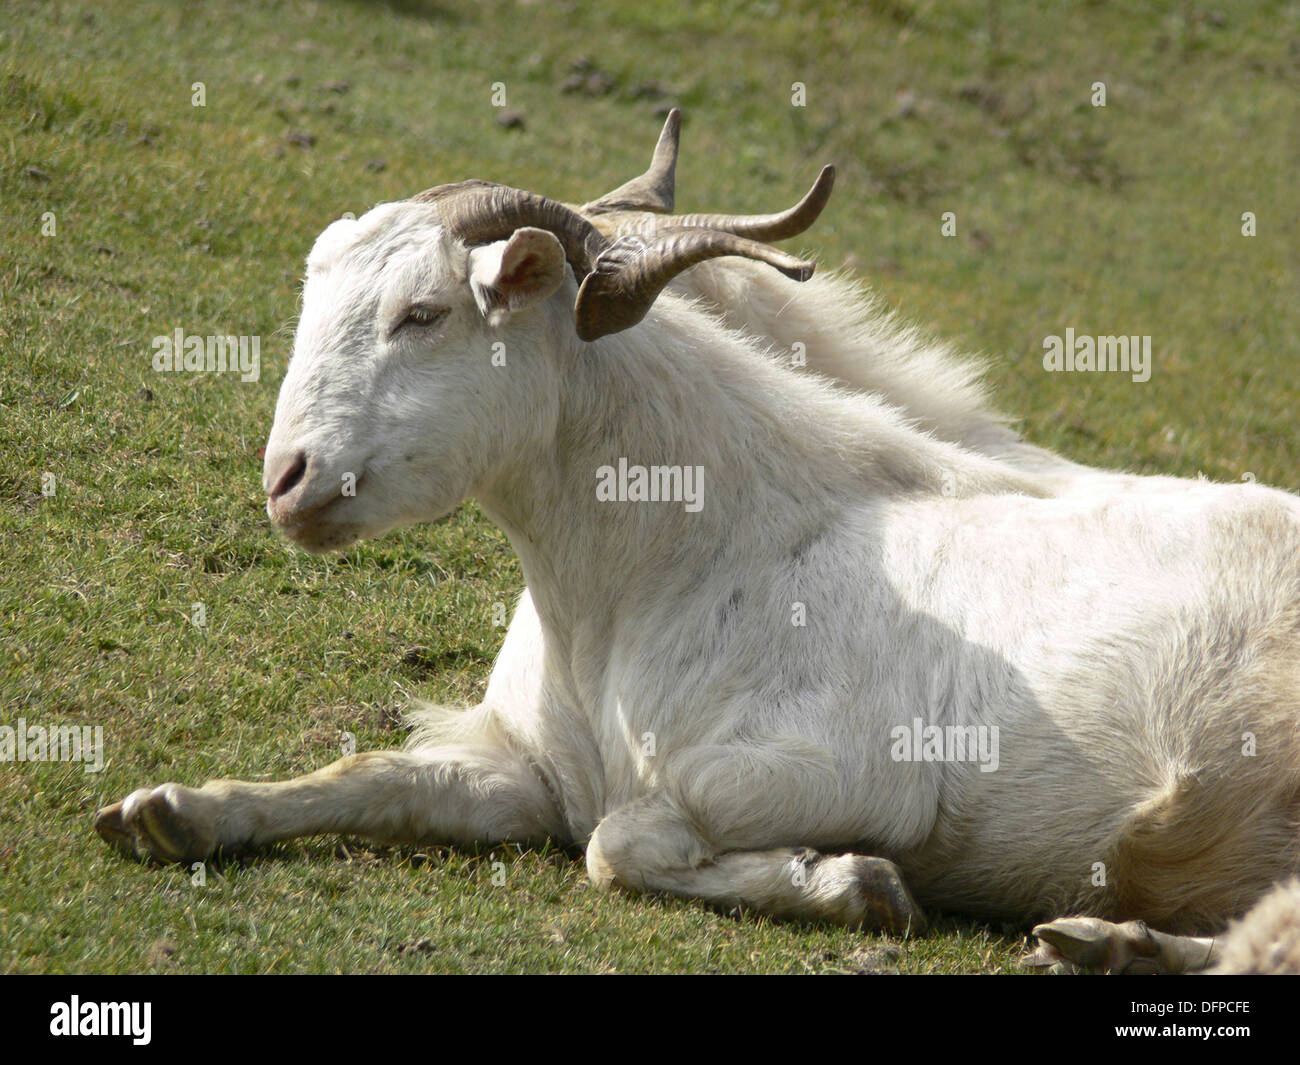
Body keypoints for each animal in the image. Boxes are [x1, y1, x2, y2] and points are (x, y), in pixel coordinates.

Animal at [95, 129, 1300, 974]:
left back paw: (1111, 938)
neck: (669, 564)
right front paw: (171, 813)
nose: (288, 481)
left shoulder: (841, 771)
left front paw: (854, 883)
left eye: (423, 313)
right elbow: (371, 776)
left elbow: (618, 843)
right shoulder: (527, 769)